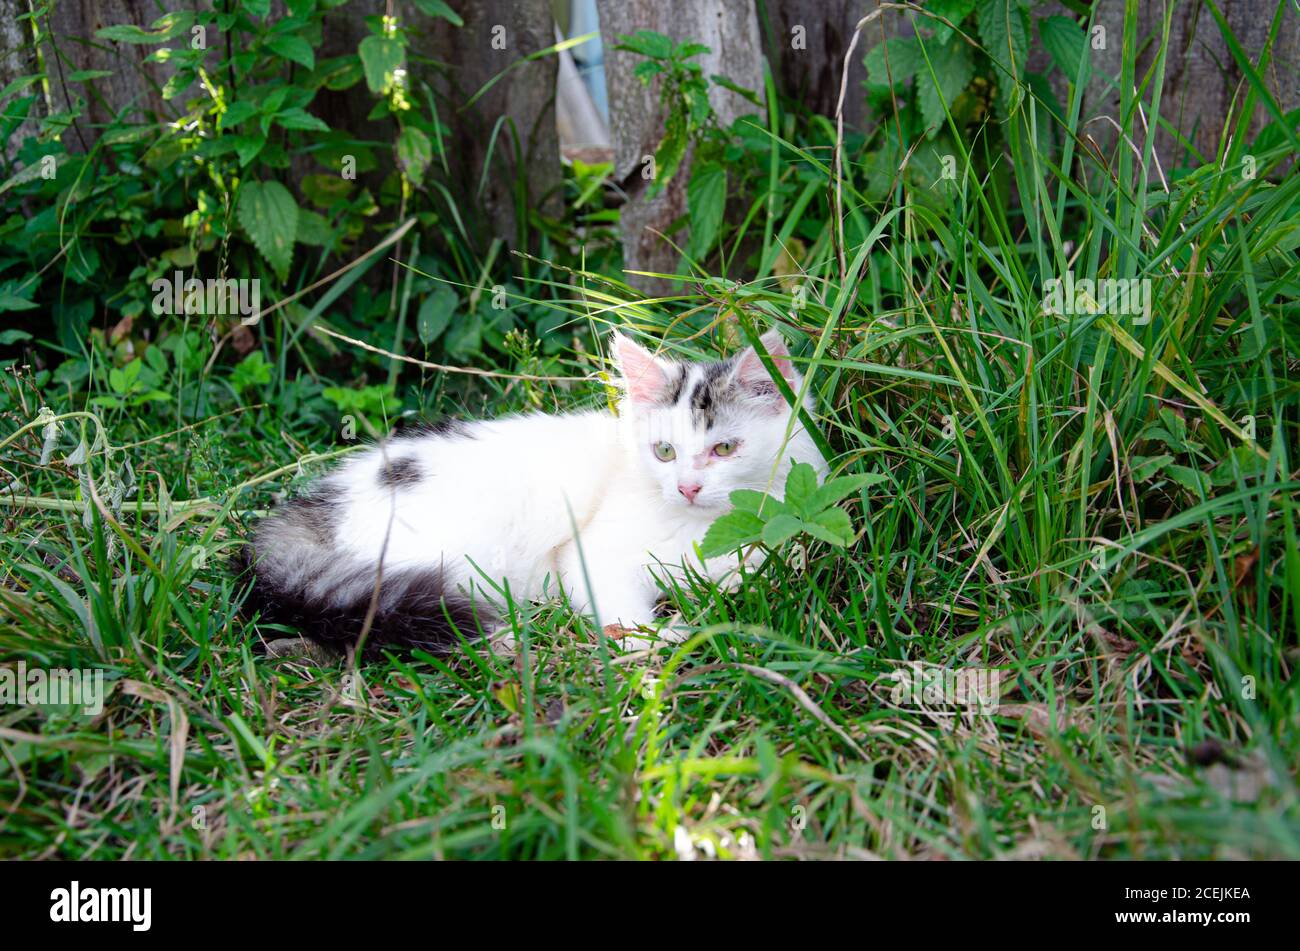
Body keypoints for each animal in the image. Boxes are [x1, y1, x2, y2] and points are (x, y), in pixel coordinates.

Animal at [245, 328, 821, 654]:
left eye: (724, 449)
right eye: (664, 451)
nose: (687, 487)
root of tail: (316, 509)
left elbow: (769, 563)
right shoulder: (589, 554)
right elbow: (622, 615)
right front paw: (665, 636)